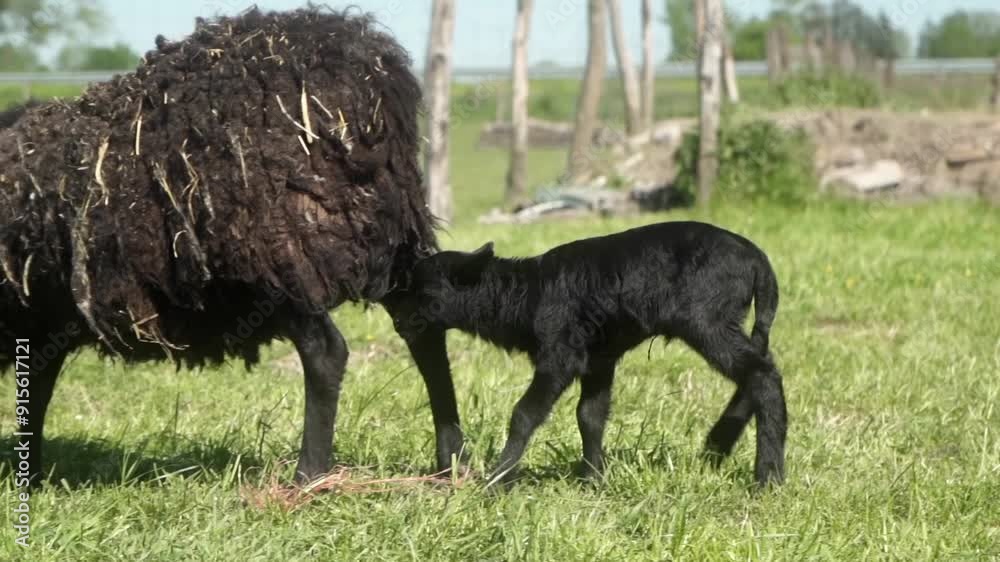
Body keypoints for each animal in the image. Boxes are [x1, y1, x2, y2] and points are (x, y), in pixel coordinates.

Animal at [1, 8, 439, 486]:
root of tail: (372, 74)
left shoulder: (34, 320)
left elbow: (33, 397)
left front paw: (27, 477)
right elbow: (35, 394)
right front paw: (31, 474)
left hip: (279, 252)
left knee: (326, 351)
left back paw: (308, 475)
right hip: (385, 232)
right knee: (422, 327)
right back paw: (451, 458)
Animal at [382, 221, 787, 488]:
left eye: (421, 289)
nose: (397, 320)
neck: (526, 293)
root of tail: (759, 260)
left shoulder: (561, 354)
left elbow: (524, 414)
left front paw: (496, 480)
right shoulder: (599, 359)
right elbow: (590, 416)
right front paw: (593, 480)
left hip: (707, 320)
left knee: (763, 376)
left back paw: (768, 476)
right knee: (758, 372)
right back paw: (719, 447)